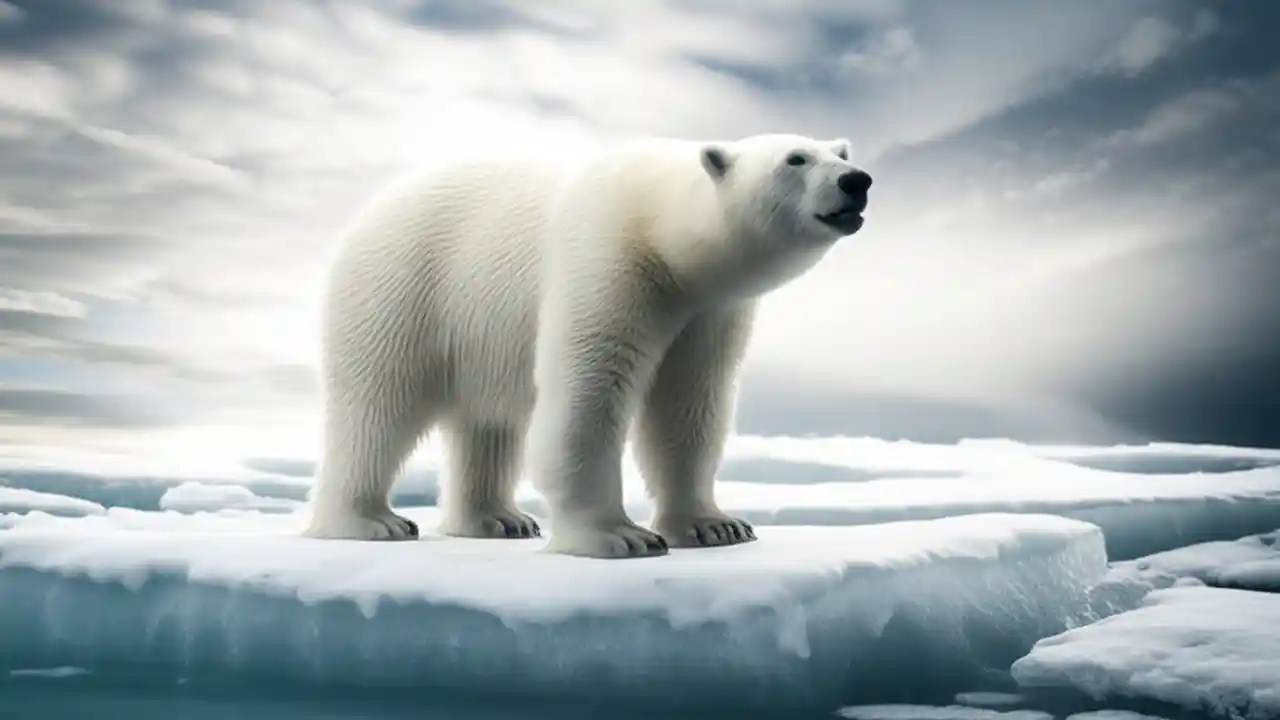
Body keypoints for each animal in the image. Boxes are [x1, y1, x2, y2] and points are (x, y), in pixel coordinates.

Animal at [304, 134, 871, 558]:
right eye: (795, 159)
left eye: (840, 154)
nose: (856, 181)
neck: (659, 224)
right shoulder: (610, 262)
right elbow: (591, 391)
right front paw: (619, 536)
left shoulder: (708, 311)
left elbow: (688, 407)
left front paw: (716, 526)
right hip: (404, 288)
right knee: (379, 405)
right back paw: (370, 523)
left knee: (487, 424)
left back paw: (500, 520)